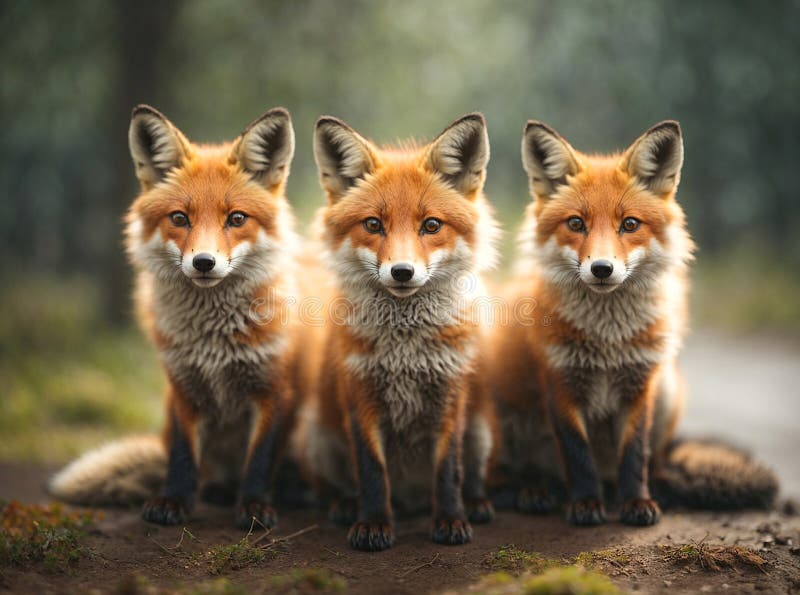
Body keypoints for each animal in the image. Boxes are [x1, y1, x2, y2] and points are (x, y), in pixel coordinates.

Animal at [49, 105, 300, 529]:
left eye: (236, 218)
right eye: (180, 218)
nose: (204, 262)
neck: (214, 337)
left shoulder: (274, 390)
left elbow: (260, 459)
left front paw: (253, 506)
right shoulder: (182, 384)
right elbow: (182, 455)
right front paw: (174, 501)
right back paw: (216, 490)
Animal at [294, 113, 500, 551]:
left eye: (431, 225)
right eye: (373, 224)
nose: (402, 272)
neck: (405, 348)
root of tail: (411, 502)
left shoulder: (450, 397)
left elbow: (448, 470)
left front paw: (451, 520)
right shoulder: (360, 395)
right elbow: (371, 471)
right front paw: (372, 524)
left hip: (481, 430)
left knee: (472, 475)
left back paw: (475, 503)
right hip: (317, 436)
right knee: (334, 487)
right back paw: (345, 506)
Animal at [488, 120, 777, 526]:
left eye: (629, 224)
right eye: (576, 223)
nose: (602, 268)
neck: (608, 340)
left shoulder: (641, 384)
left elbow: (635, 455)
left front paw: (637, 503)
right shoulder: (560, 383)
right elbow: (578, 455)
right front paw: (586, 503)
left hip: (669, 389)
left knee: (654, 463)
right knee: (506, 473)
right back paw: (532, 491)